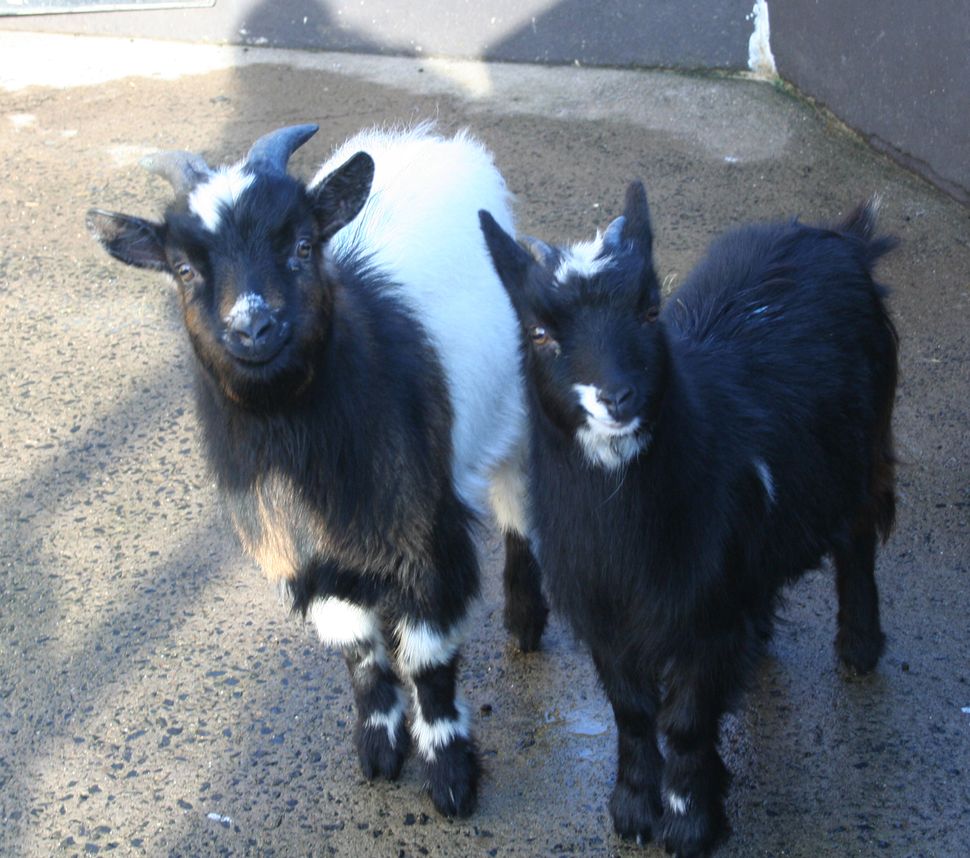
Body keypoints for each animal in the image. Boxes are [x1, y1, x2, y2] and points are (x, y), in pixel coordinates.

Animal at [86, 124, 548, 818]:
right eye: (185, 269)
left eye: (303, 245)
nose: (253, 326)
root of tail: (441, 141)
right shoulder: (305, 556)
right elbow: (358, 653)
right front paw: (380, 750)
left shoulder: (426, 533)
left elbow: (431, 662)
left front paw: (451, 776)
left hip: (512, 408)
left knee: (518, 499)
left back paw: (526, 618)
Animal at [479, 184, 898, 855]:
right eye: (539, 331)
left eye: (651, 311)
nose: (616, 398)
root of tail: (842, 238)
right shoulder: (610, 619)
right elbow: (631, 713)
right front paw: (632, 809)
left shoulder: (702, 618)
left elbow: (685, 720)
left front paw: (690, 823)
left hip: (869, 443)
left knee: (858, 537)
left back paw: (859, 647)